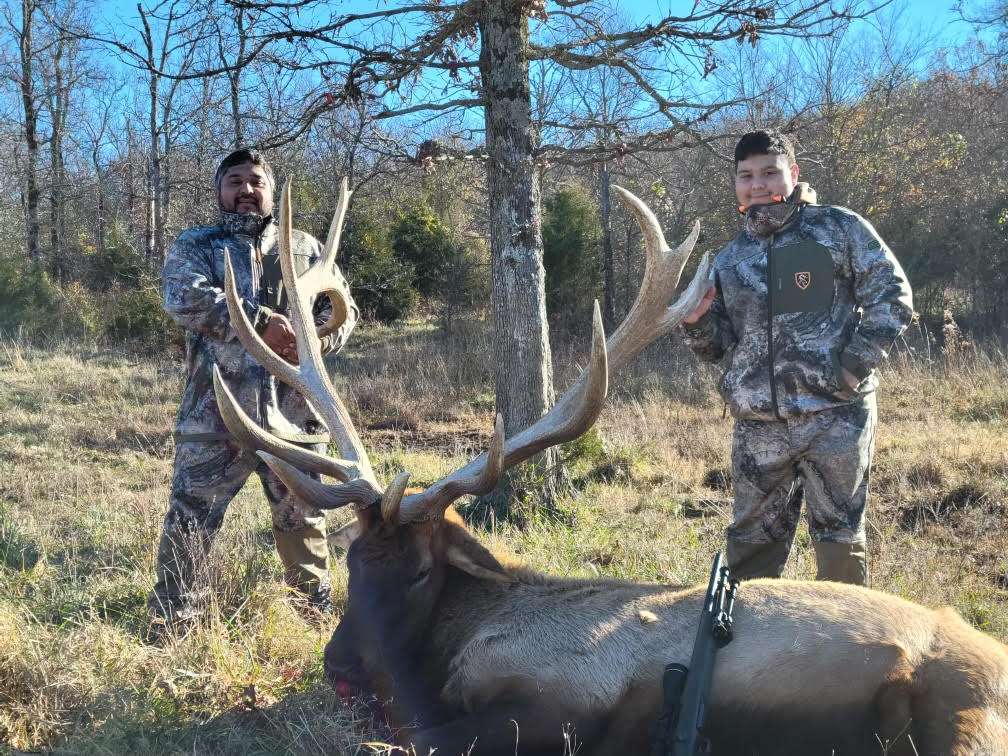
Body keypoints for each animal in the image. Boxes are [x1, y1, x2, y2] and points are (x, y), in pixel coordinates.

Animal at [211, 178, 1008, 755]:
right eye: (350, 558)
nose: (338, 667)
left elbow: (414, 742)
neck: (442, 656)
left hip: (963, 725)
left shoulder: (554, 709)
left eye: (416, 571)